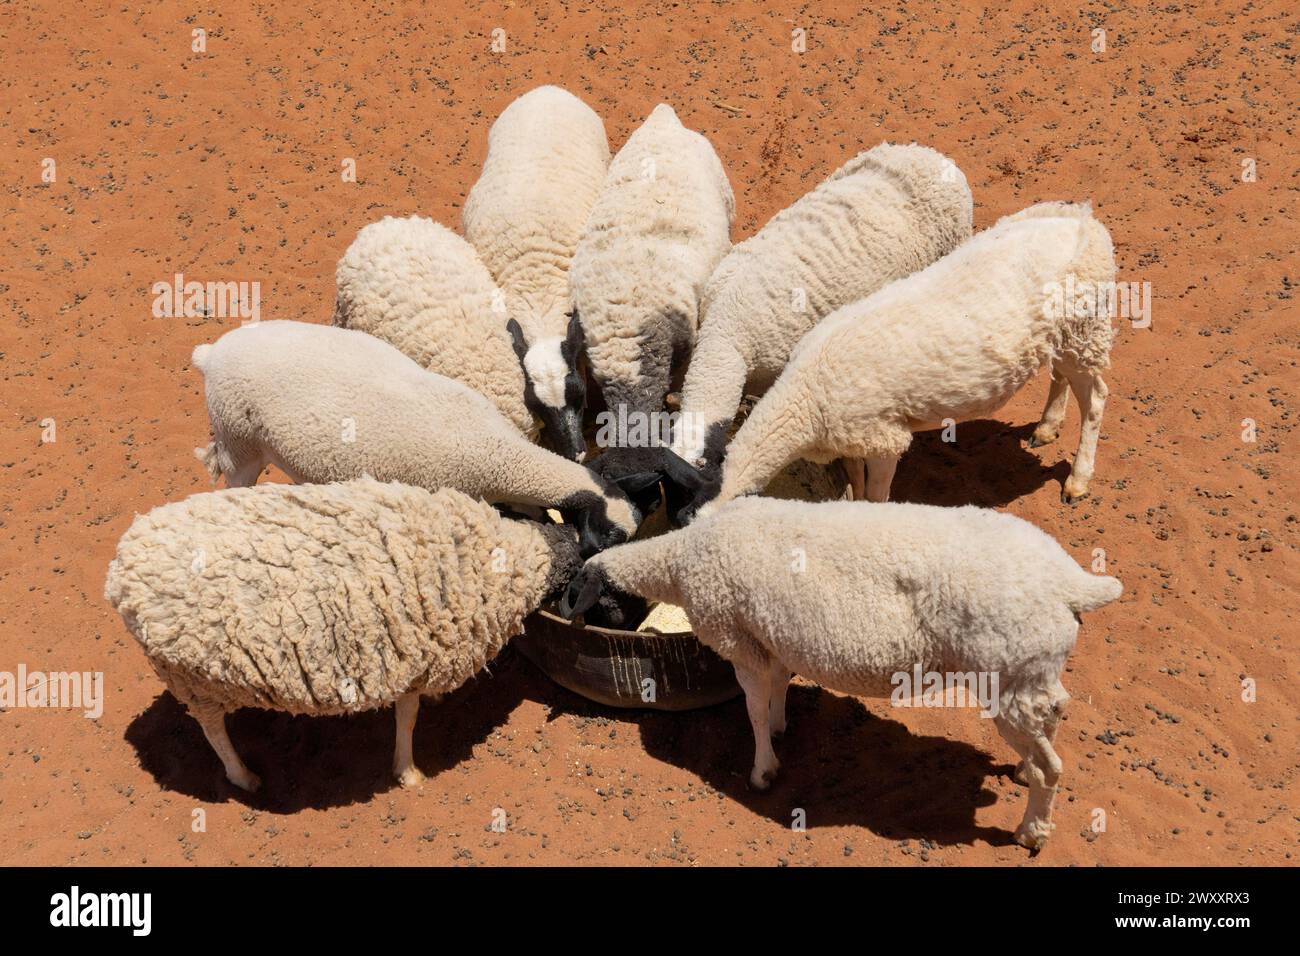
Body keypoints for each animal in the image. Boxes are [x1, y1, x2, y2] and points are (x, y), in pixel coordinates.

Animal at [104, 478, 583, 790]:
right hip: (189, 678)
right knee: (212, 731)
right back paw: (244, 777)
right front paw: (408, 772)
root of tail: (121, 567)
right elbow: (407, 720)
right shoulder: (409, 658)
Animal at [560, 495, 1123, 851]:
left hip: (1008, 676)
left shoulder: (738, 639)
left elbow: (752, 708)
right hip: (1032, 674)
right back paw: (1026, 775)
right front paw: (782, 728)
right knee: (1053, 716)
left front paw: (763, 770)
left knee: (1052, 768)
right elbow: (778, 689)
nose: (572, 621)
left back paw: (1032, 831)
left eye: (581, 592)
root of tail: (1070, 583)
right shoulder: (771, 636)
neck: (679, 561)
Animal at [678, 201, 1116, 523]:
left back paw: (1077, 481)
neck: (804, 397)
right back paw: (1046, 427)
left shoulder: (885, 440)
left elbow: (875, 495)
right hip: (1064, 336)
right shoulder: (850, 440)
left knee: (1095, 399)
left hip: (1086, 327)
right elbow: (856, 483)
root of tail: (1086, 221)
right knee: (1060, 376)